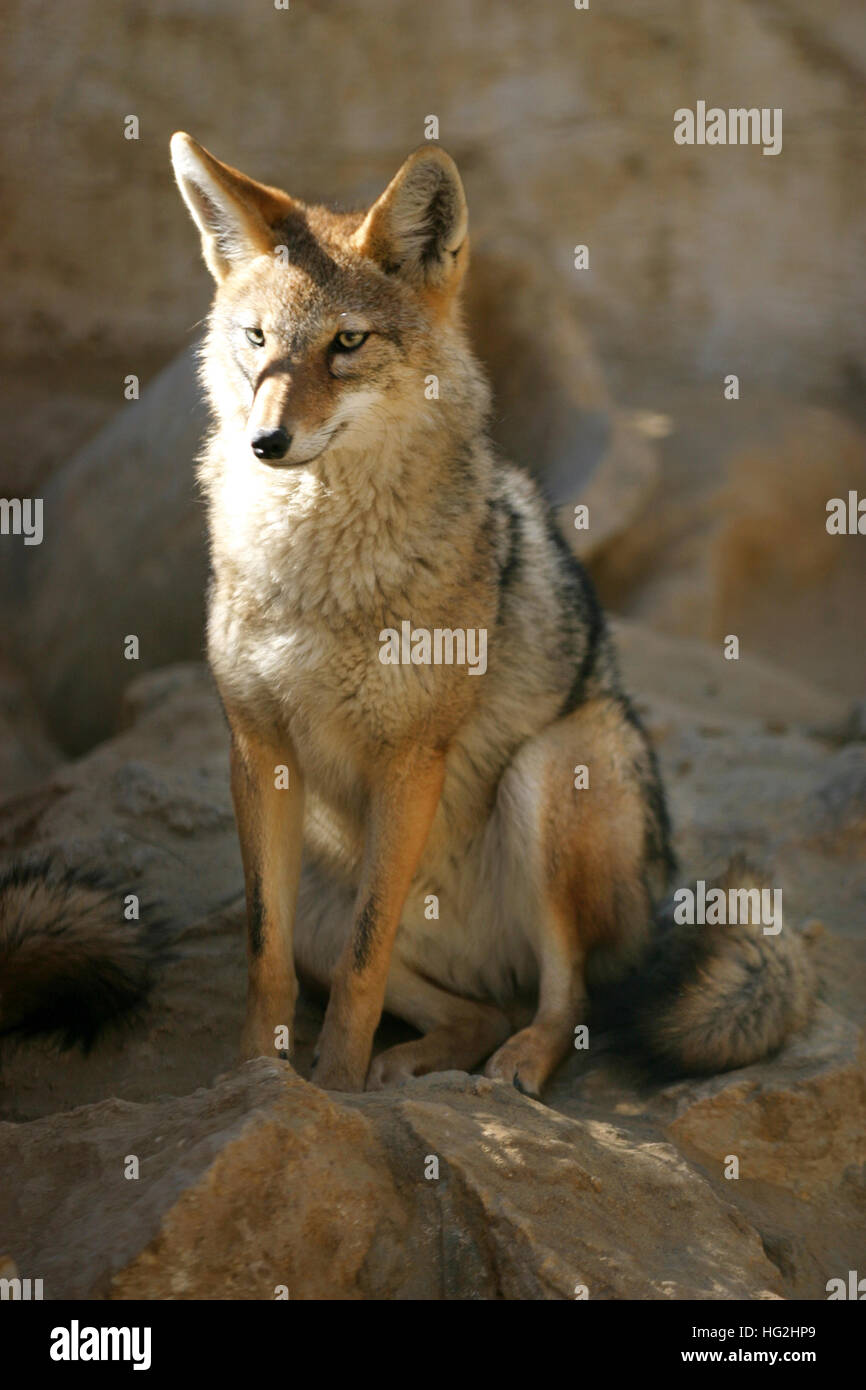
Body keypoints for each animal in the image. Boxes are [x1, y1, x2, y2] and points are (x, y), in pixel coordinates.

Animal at [0, 138, 815, 1097]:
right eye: (257, 341)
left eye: (346, 344)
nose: (266, 444)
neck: (317, 567)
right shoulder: (257, 748)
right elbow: (264, 957)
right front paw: (254, 1083)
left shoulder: (409, 758)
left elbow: (367, 957)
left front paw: (334, 1084)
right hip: (327, 897)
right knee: (477, 1006)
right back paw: (416, 1064)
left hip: (553, 768)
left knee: (565, 997)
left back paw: (512, 1068)